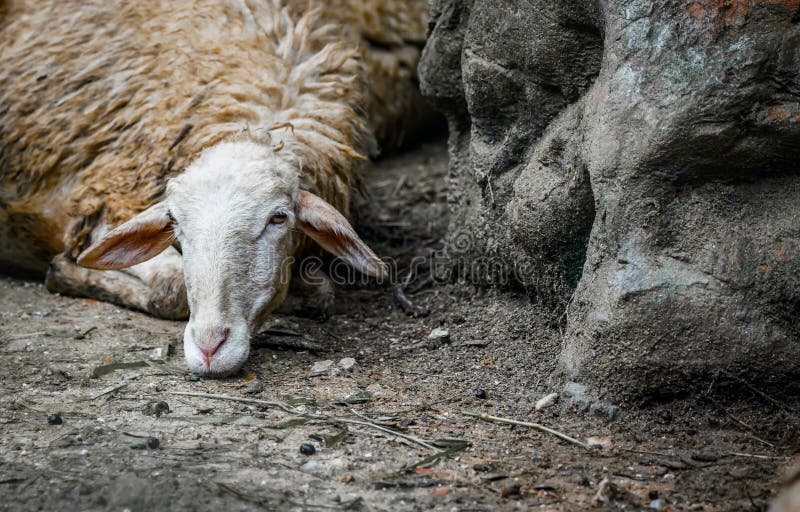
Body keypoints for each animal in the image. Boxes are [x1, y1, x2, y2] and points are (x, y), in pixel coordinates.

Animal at [0, 0, 429, 376]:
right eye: (174, 220)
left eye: (278, 218)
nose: (209, 347)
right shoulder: (102, 193)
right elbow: (172, 286)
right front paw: (60, 270)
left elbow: (321, 293)